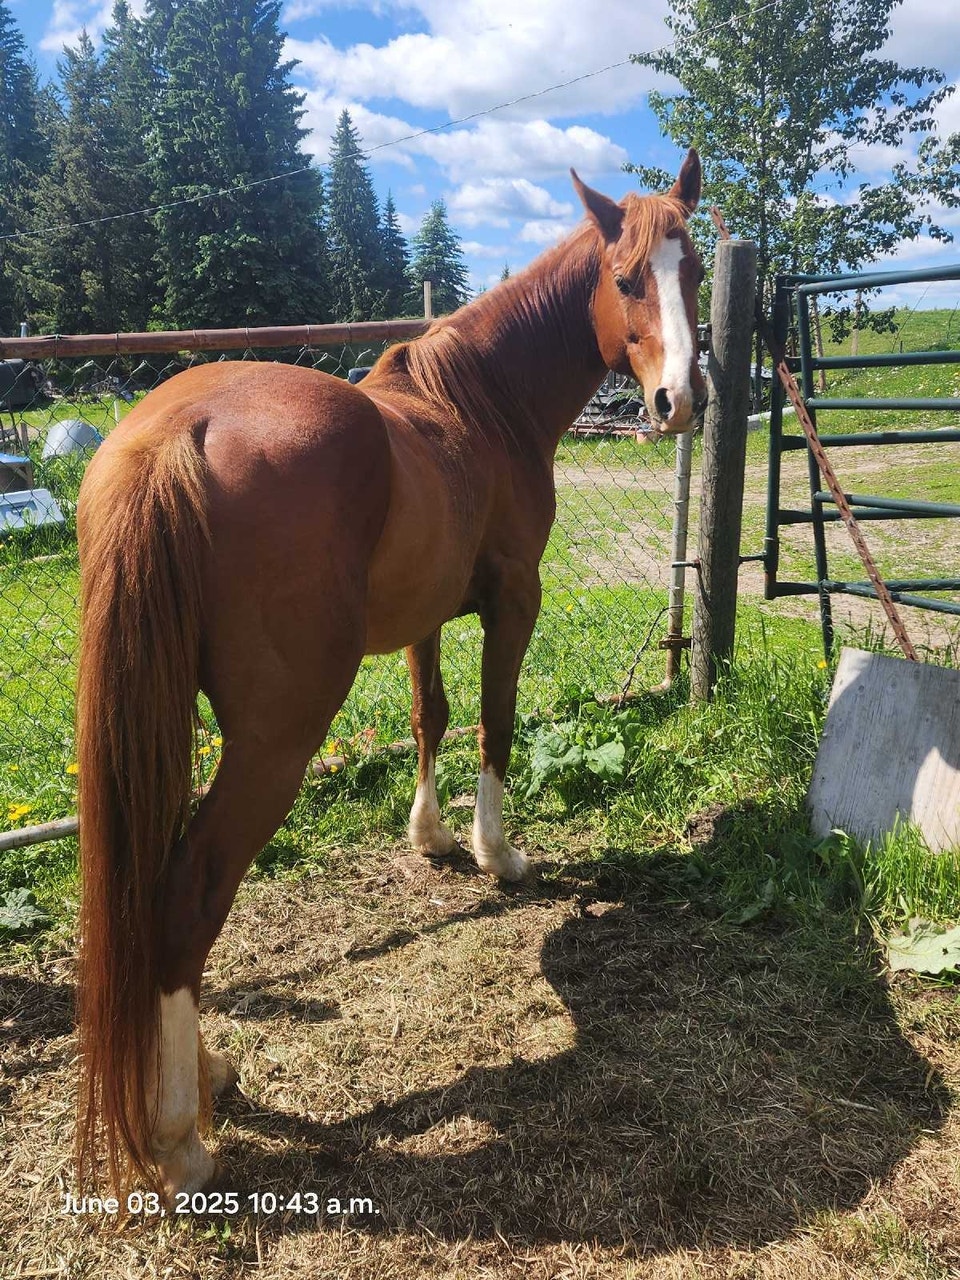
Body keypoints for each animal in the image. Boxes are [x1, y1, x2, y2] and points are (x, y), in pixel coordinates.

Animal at [74, 151, 706, 1200]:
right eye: (625, 280)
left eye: (695, 271)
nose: (677, 403)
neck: (476, 408)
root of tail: (176, 433)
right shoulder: (513, 601)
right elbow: (494, 721)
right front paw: (497, 853)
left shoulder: (423, 619)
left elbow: (429, 715)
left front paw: (431, 837)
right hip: (275, 743)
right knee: (187, 896)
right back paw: (179, 1137)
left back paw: (210, 1073)